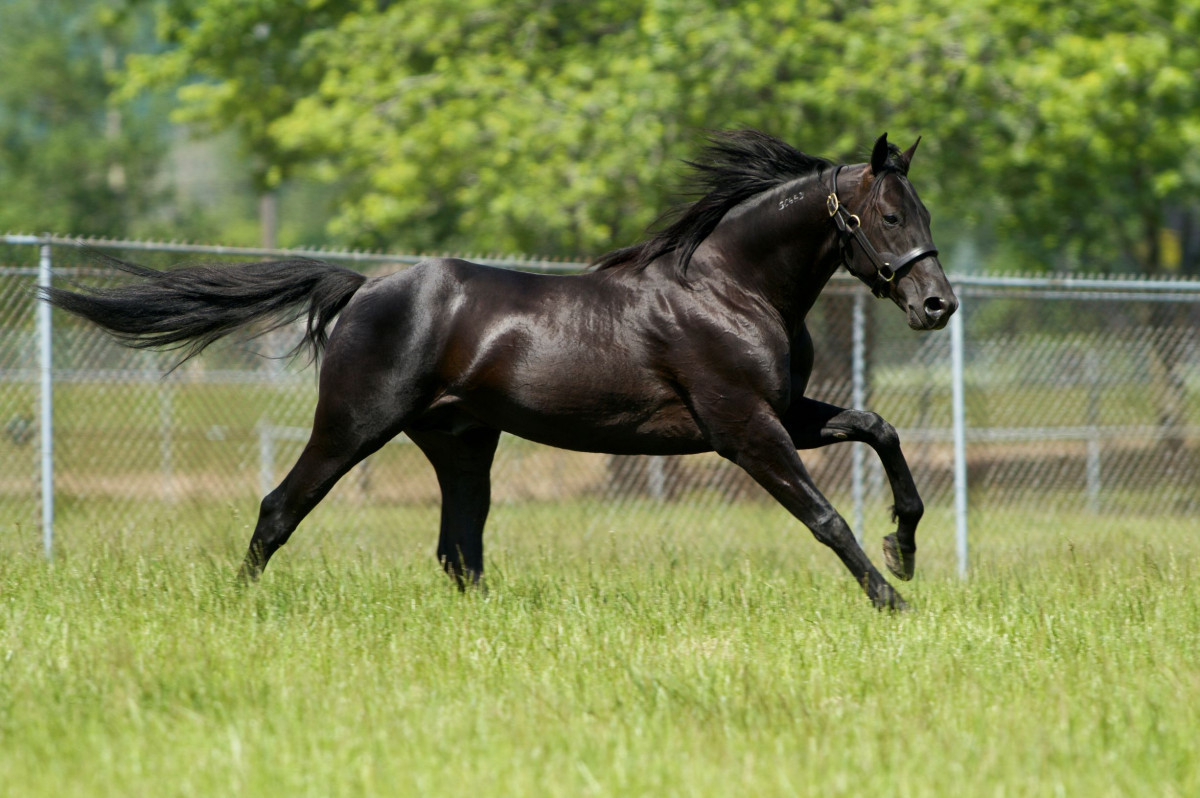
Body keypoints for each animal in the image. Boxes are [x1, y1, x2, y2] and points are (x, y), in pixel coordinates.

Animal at [44, 130, 956, 610]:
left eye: (925, 211)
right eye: (887, 215)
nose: (937, 304)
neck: (727, 285)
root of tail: (363, 288)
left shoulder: (786, 408)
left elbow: (881, 430)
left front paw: (905, 549)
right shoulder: (743, 426)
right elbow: (824, 515)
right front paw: (894, 600)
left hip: (460, 445)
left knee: (460, 549)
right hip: (353, 425)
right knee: (280, 507)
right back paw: (240, 602)